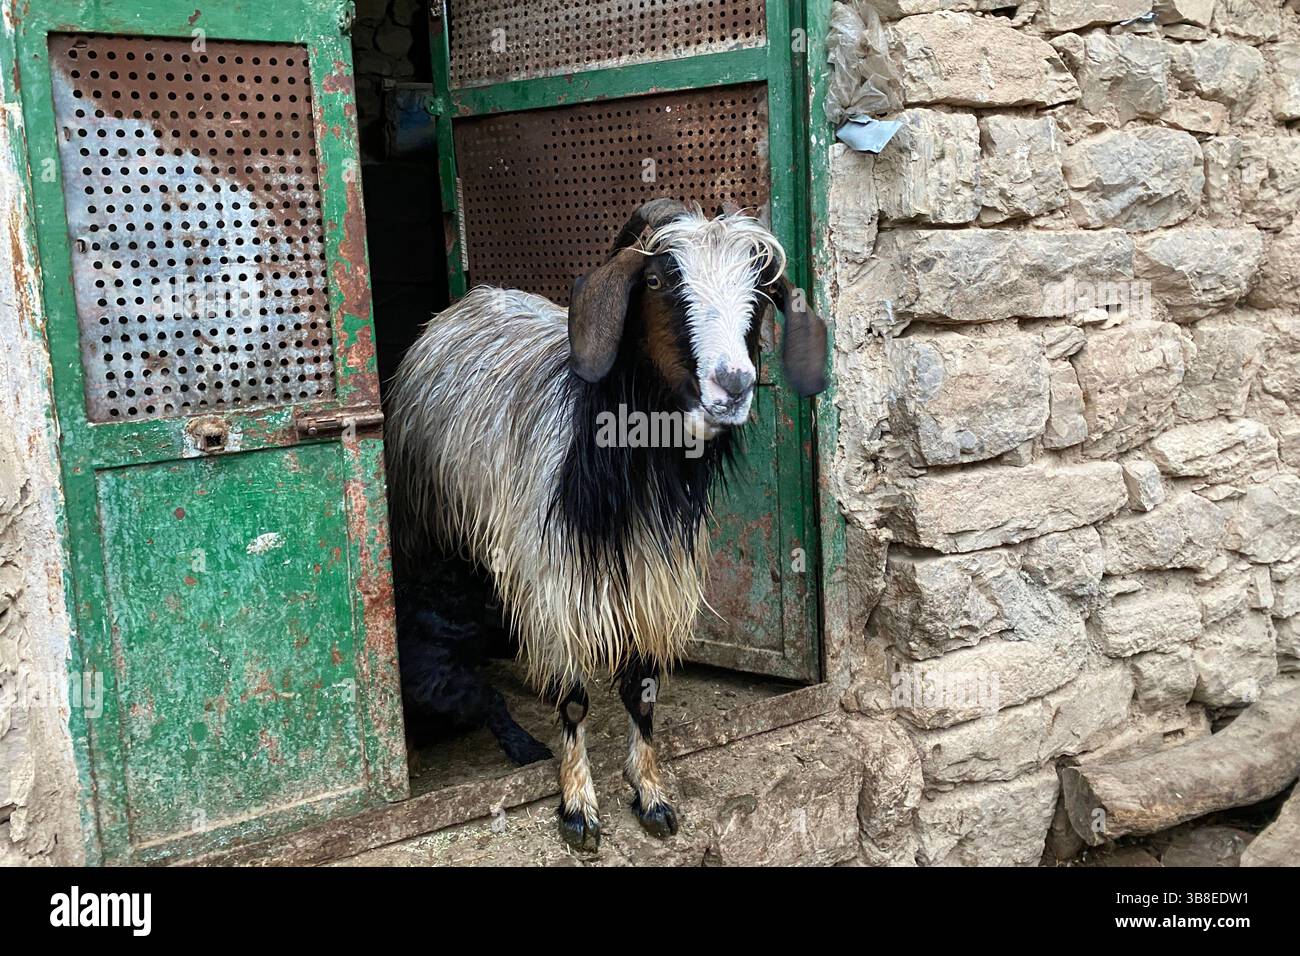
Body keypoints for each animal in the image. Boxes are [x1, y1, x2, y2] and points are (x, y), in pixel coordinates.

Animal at [385, 200, 827, 850]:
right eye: (658, 280)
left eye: (761, 293)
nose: (734, 385)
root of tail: (471, 301)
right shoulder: (554, 580)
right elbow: (573, 701)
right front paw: (578, 809)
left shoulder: (654, 579)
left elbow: (642, 692)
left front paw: (652, 797)